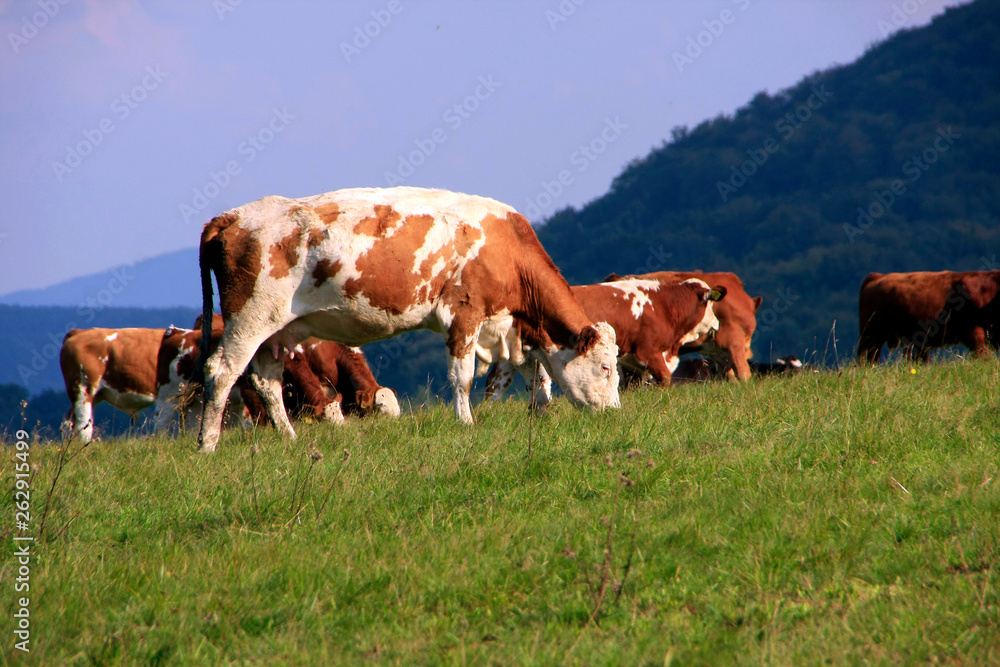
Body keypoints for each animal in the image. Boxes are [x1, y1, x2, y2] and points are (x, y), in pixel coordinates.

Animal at [196, 186, 620, 452]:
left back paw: (290, 438)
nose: (615, 414)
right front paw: (466, 424)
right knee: (222, 371)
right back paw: (207, 444)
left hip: (277, 330)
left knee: (267, 380)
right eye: (605, 367)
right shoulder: (464, 313)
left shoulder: (509, 328)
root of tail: (232, 215)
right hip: (249, 318)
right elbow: (463, 378)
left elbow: (530, 377)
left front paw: (539, 414)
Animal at [484, 277, 725, 402]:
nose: (717, 324)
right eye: (710, 303)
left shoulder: (633, 362)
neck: (663, 306)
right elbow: (665, 380)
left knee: (495, 386)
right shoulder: (650, 352)